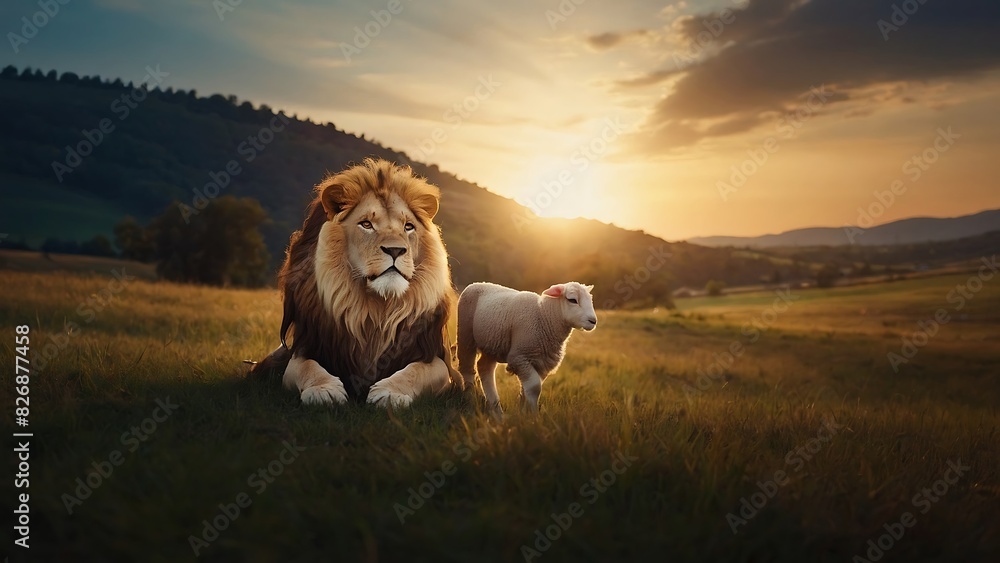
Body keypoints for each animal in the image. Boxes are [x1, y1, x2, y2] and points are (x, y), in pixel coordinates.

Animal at [250, 158, 462, 408]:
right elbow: (306, 367)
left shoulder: (435, 358)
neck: (377, 310)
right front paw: (324, 390)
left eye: (408, 226)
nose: (395, 250)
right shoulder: (306, 347)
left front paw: (390, 392)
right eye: (366, 224)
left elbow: (416, 370)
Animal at [457, 281, 597, 414]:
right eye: (572, 300)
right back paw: (470, 401)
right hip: (465, 335)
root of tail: (477, 283)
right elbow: (535, 388)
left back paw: (497, 412)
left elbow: (527, 390)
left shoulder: (542, 363)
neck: (544, 316)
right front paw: (534, 417)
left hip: (492, 344)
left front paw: (524, 414)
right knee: (467, 368)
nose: (593, 321)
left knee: (484, 368)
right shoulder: (519, 357)